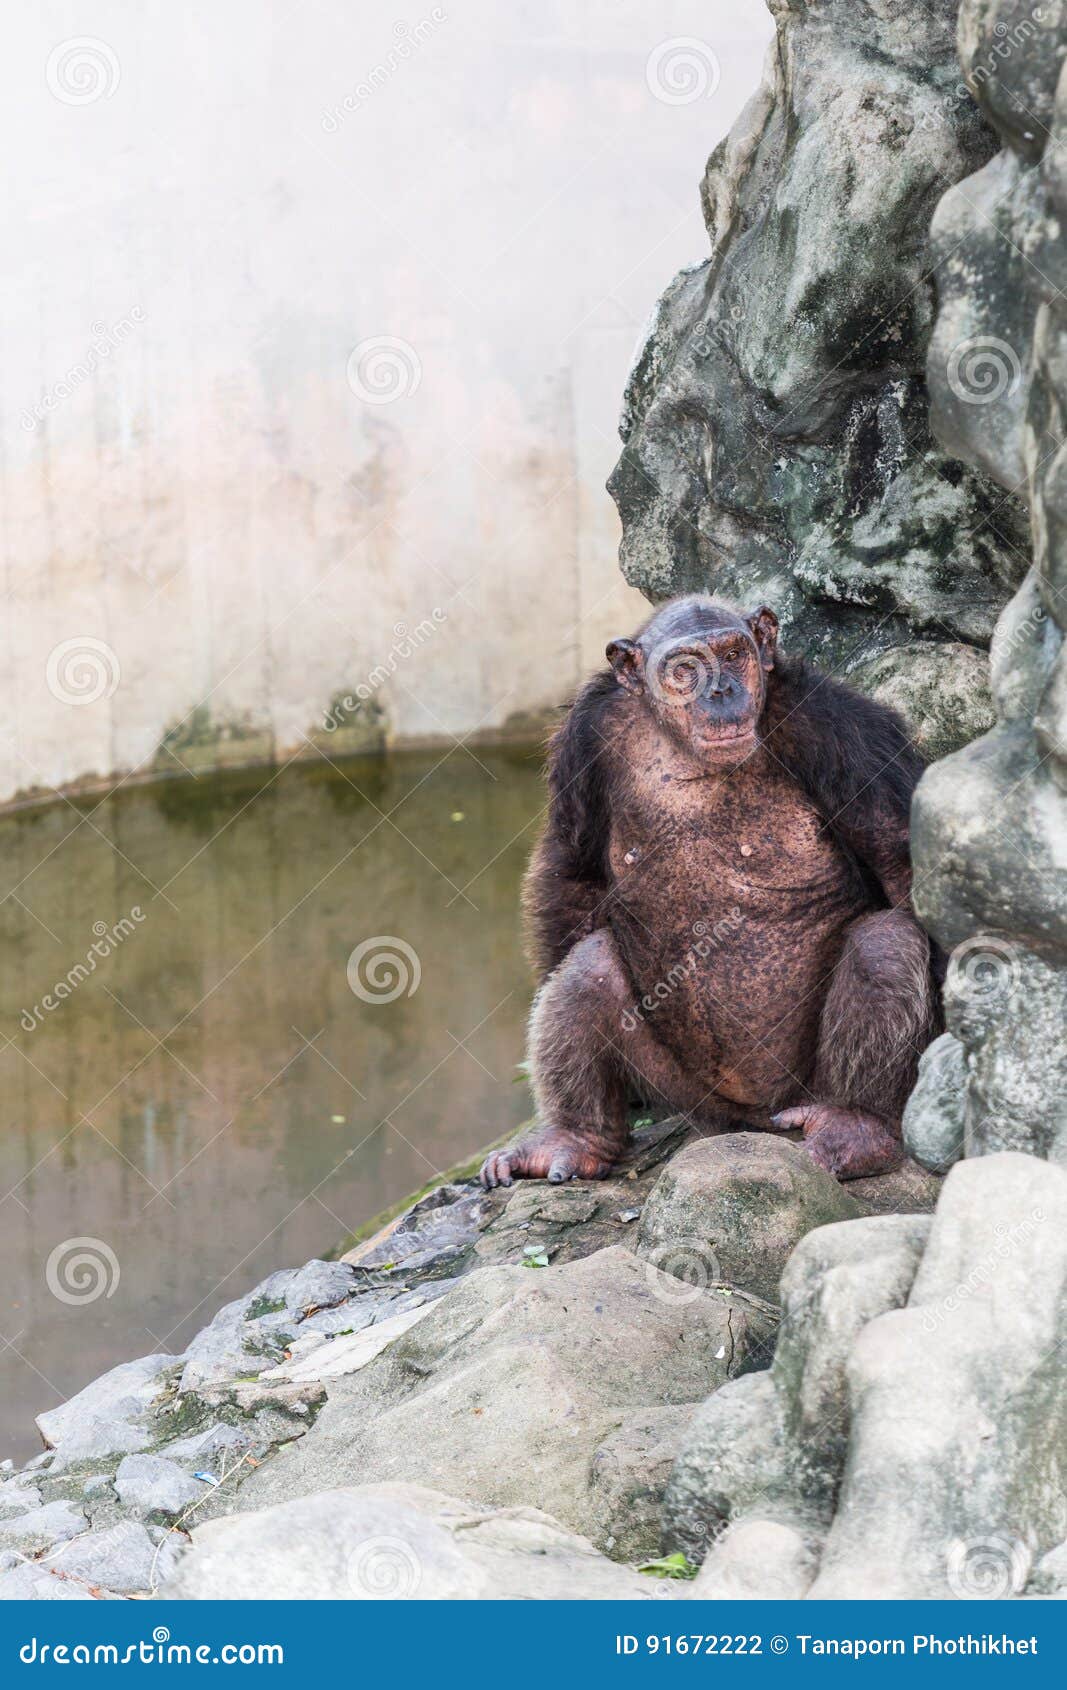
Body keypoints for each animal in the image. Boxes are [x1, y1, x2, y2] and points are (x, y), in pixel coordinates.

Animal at [481, 595, 939, 1189]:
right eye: (685, 668)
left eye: (733, 653)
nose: (720, 691)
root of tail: (752, 1122)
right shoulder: (586, 734)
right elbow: (571, 867)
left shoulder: (844, 730)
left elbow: (899, 859)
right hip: (687, 1095)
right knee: (588, 967)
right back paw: (575, 1139)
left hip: (800, 1097)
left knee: (885, 945)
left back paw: (857, 1127)